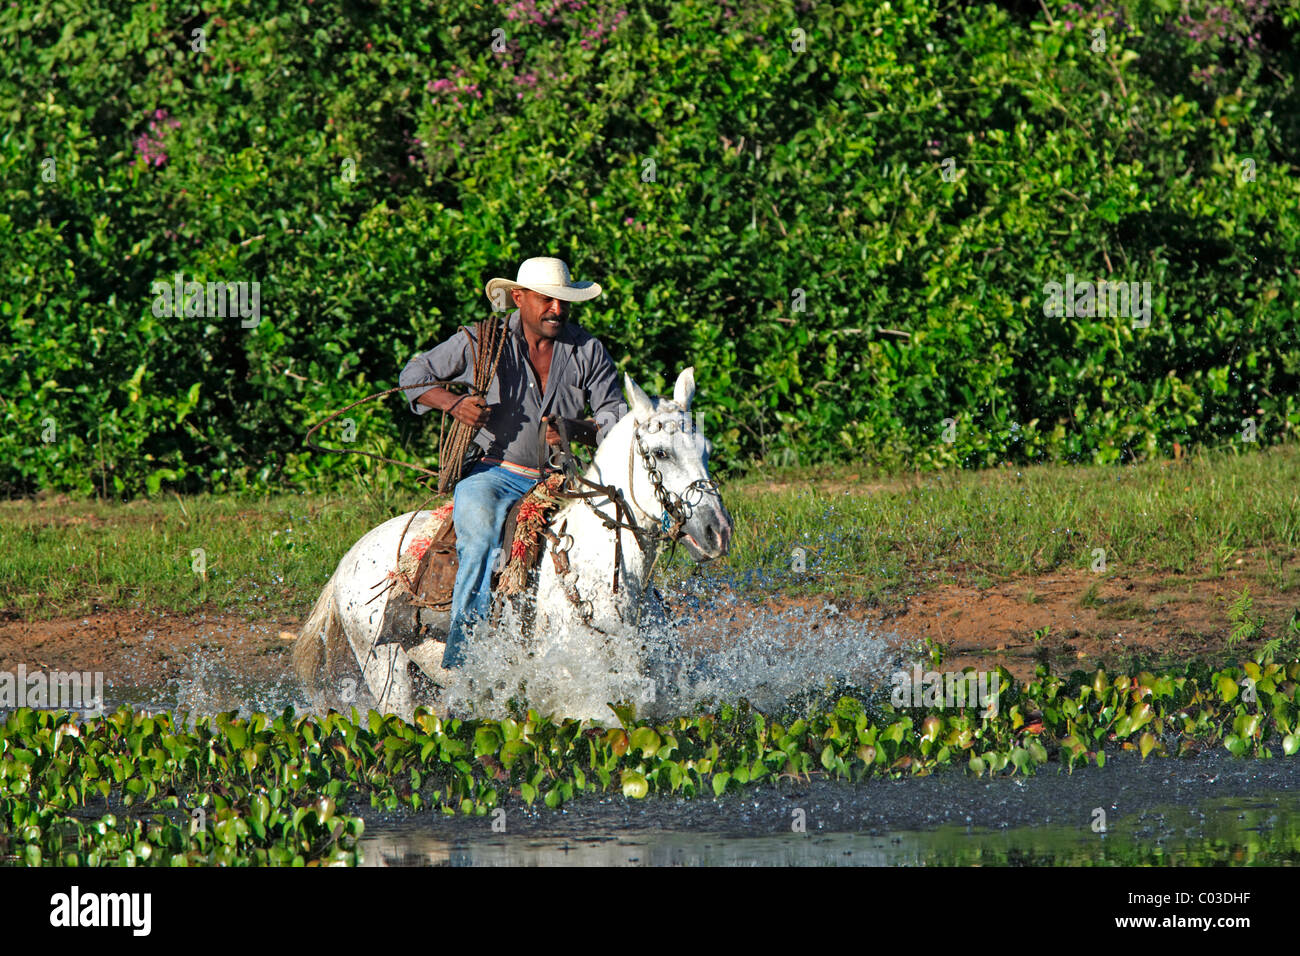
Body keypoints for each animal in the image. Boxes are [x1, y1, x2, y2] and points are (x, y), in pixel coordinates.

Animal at [291, 368, 733, 723]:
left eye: (707, 450)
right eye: (660, 453)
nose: (719, 531)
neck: (594, 573)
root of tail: (349, 559)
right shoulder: (584, 705)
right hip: (389, 675)